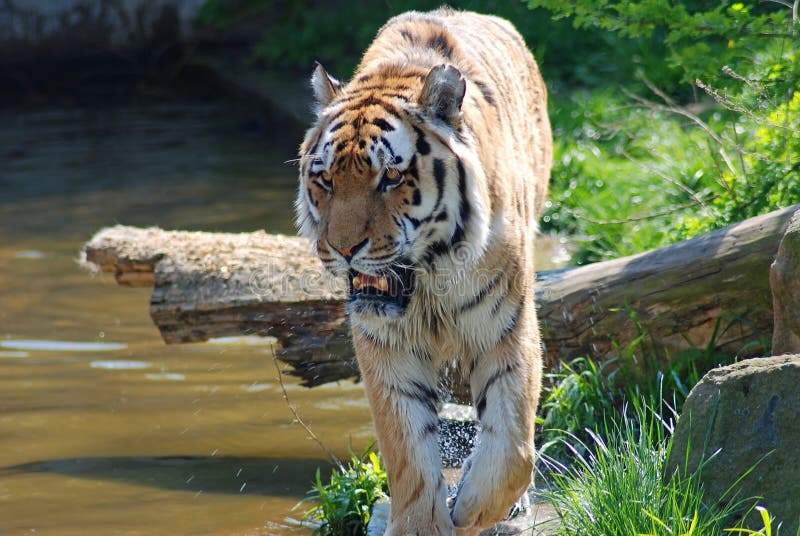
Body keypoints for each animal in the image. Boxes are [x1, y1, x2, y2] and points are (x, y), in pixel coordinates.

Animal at [295, 8, 552, 536]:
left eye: (390, 177)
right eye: (325, 178)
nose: (343, 248)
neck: (430, 279)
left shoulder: (504, 325)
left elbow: (513, 442)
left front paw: (473, 508)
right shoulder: (385, 343)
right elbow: (407, 450)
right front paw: (421, 524)